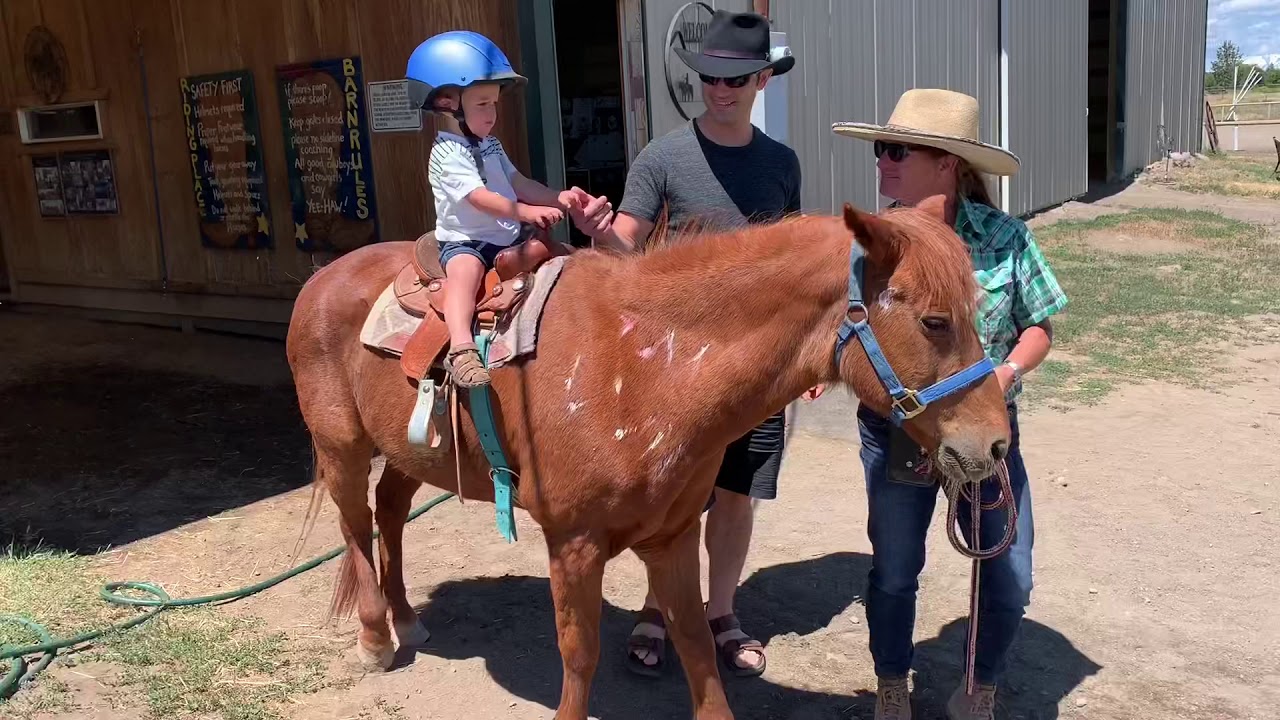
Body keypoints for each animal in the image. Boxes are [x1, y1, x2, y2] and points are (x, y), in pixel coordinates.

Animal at [284, 196, 1012, 720]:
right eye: (935, 322)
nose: (996, 444)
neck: (644, 364)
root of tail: (324, 277)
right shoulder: (573, 544)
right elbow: (579, 656)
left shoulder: (671, 538)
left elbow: (696, 648)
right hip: (344, 448)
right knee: (356, 526)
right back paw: (376, 637)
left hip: (410, 453)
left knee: (390, 514)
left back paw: (408, 619)